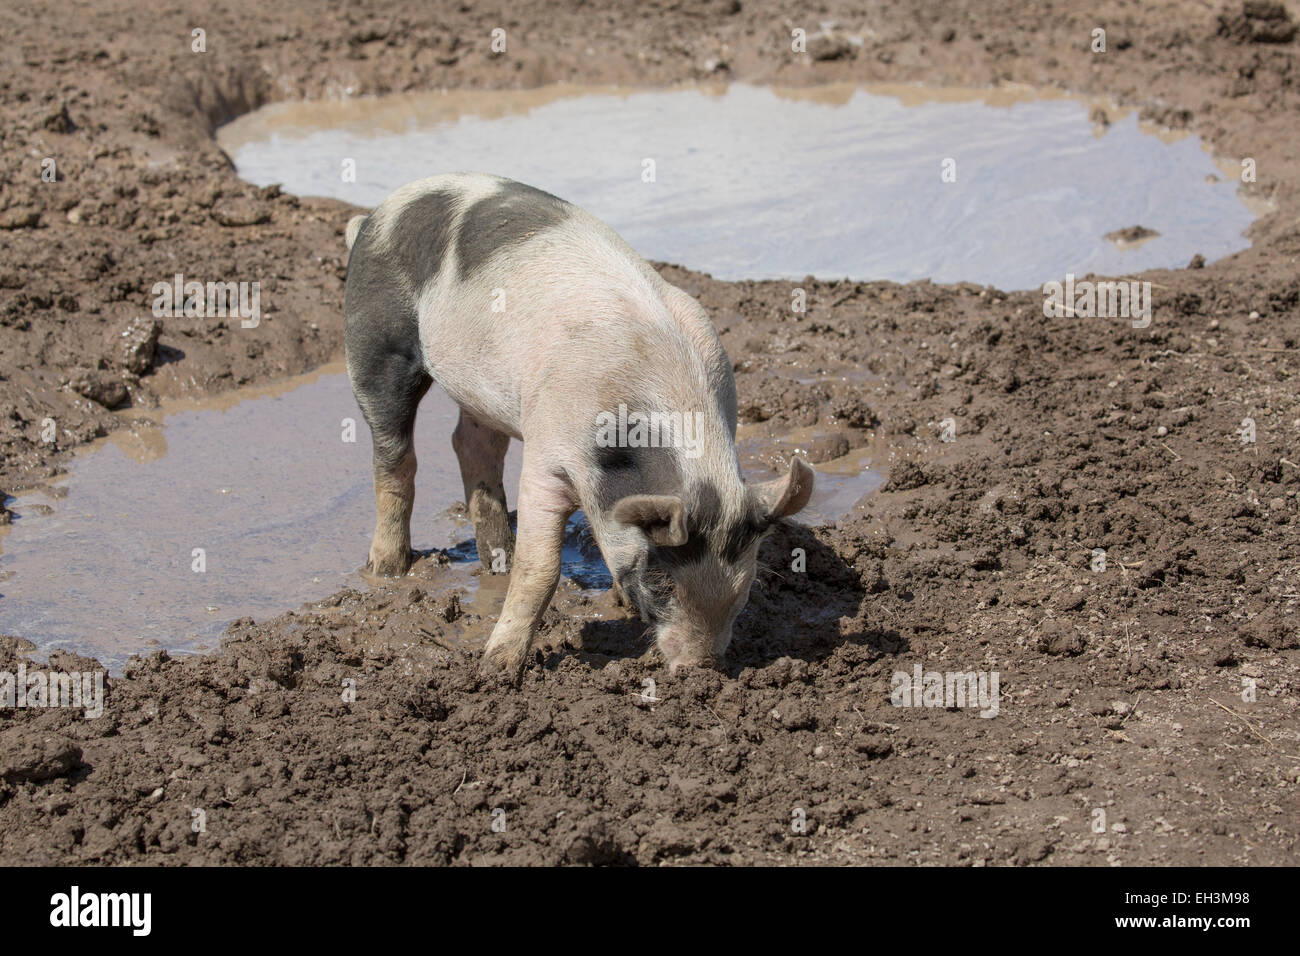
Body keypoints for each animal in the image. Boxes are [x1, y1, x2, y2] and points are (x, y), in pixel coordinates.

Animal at [343, 173, 814, 678]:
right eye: (662, 582)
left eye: (744, 588)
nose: (700, 669)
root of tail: (374, 216)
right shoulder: (547, 453)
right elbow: (540, 568)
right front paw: (496, 669)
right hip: (376, 345)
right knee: (394, 458)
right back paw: (387, 569)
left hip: (484, 389)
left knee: (470, 445)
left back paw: (496, 562)